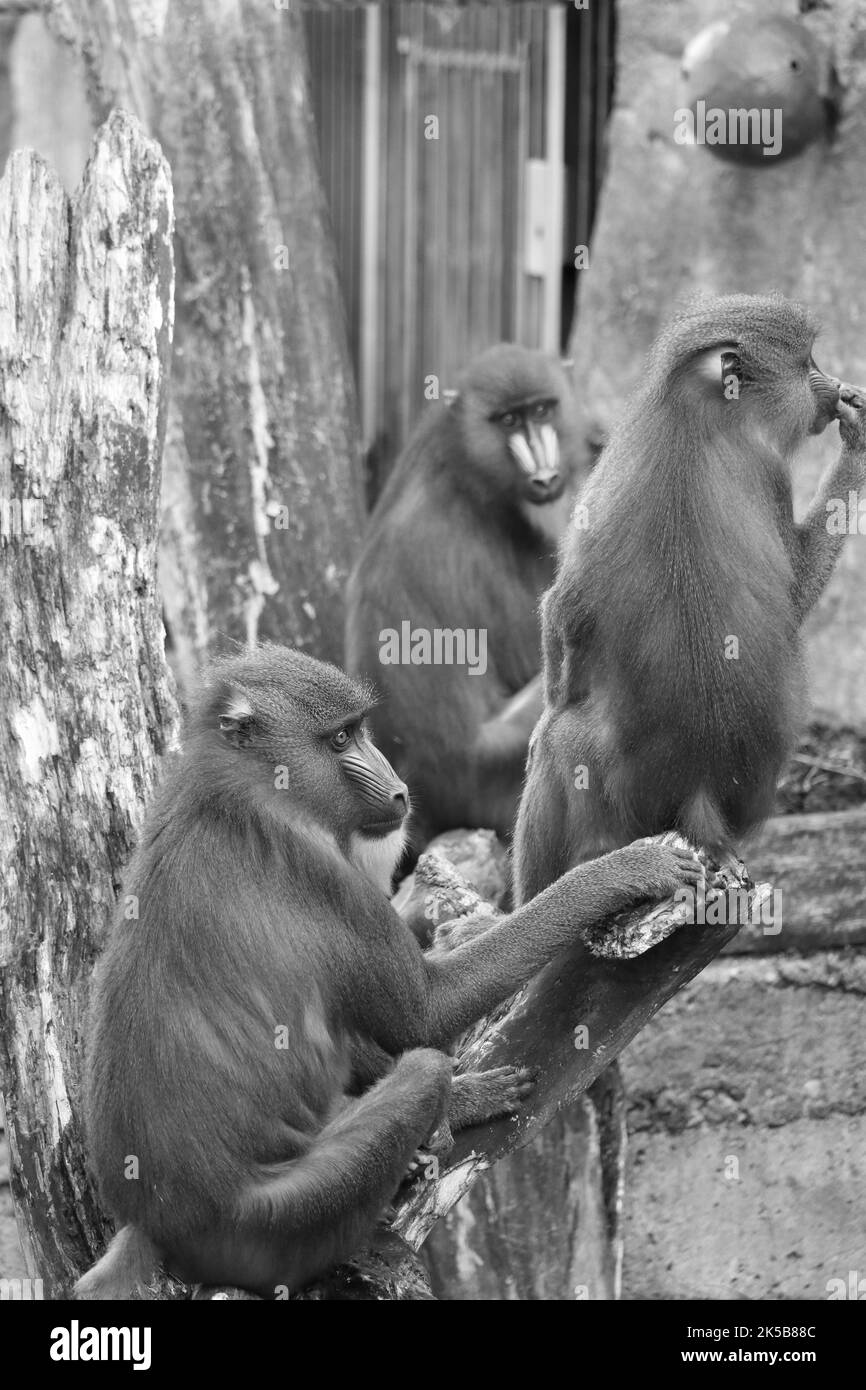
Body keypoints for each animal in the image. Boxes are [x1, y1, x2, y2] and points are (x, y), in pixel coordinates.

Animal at [74, 644, 704, 1300]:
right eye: (339, 738)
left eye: (358, 730)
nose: (399, 791)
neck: (241, 788)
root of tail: (152, 1222)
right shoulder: (322, 873)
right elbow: (426, 1012)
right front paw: (624, 870)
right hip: (269, 1224)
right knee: (419, 1072)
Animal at [513, 293, 866, 904]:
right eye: (808, 365)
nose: (838, 387)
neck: (699, 413)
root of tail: (699, 790)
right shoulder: (770, 469)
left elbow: (563, 611)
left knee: (556, 741)